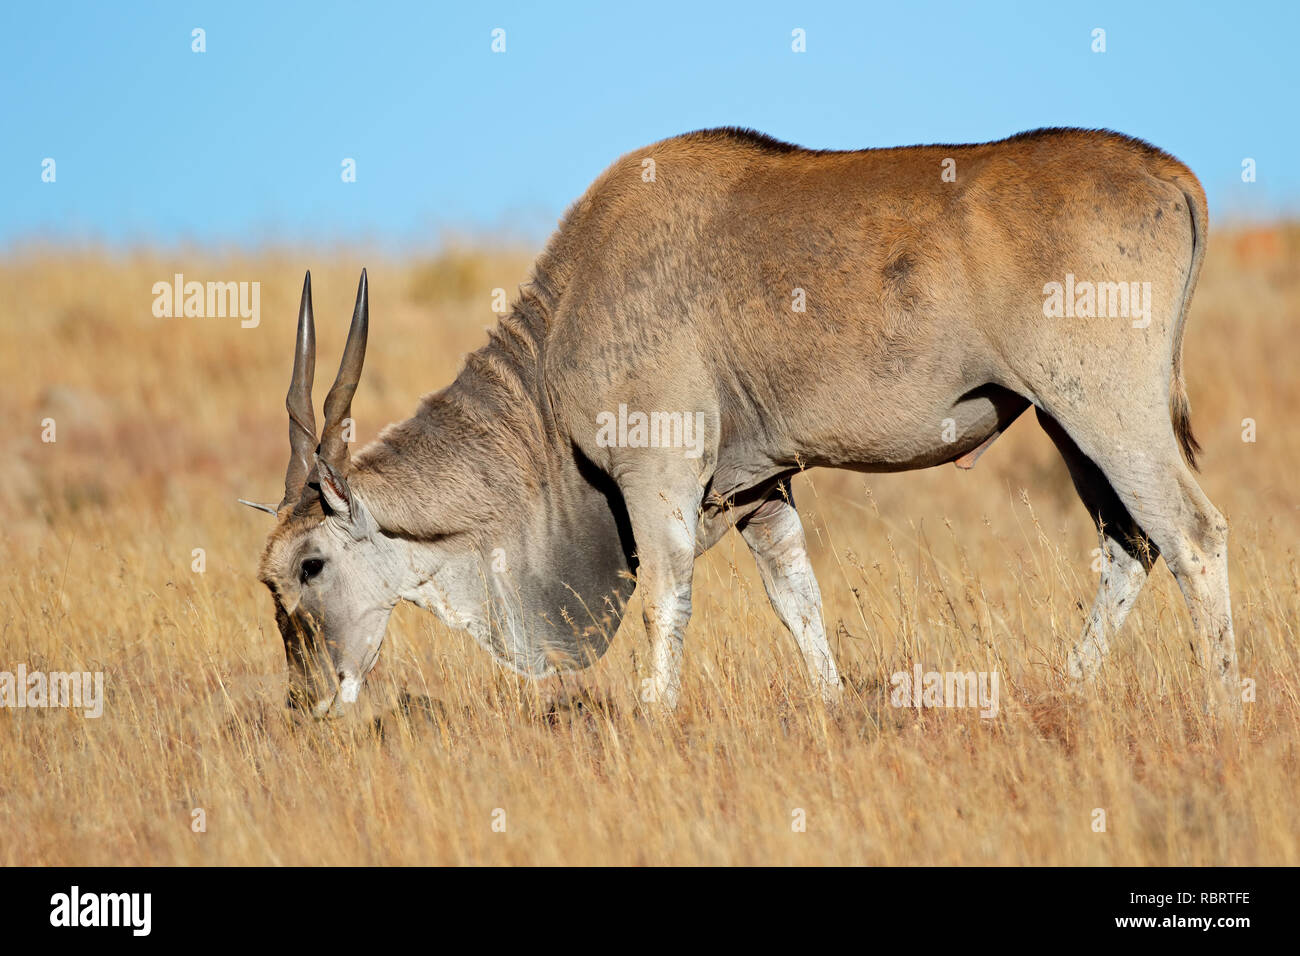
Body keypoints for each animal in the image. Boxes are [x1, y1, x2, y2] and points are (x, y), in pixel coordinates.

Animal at [245, 127, 1238, 718]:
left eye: (310, 566)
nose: (304, 700)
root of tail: (1171, 176)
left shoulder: (659, 479)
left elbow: (666, 600)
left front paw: (656, 721)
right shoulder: (763, 490)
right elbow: (800, 604)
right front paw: (835, 713)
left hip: (1105, 411)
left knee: (1191, 534)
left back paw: (1225, 705)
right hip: (1071, 427)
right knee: (1129, 543)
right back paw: (1062, 693)